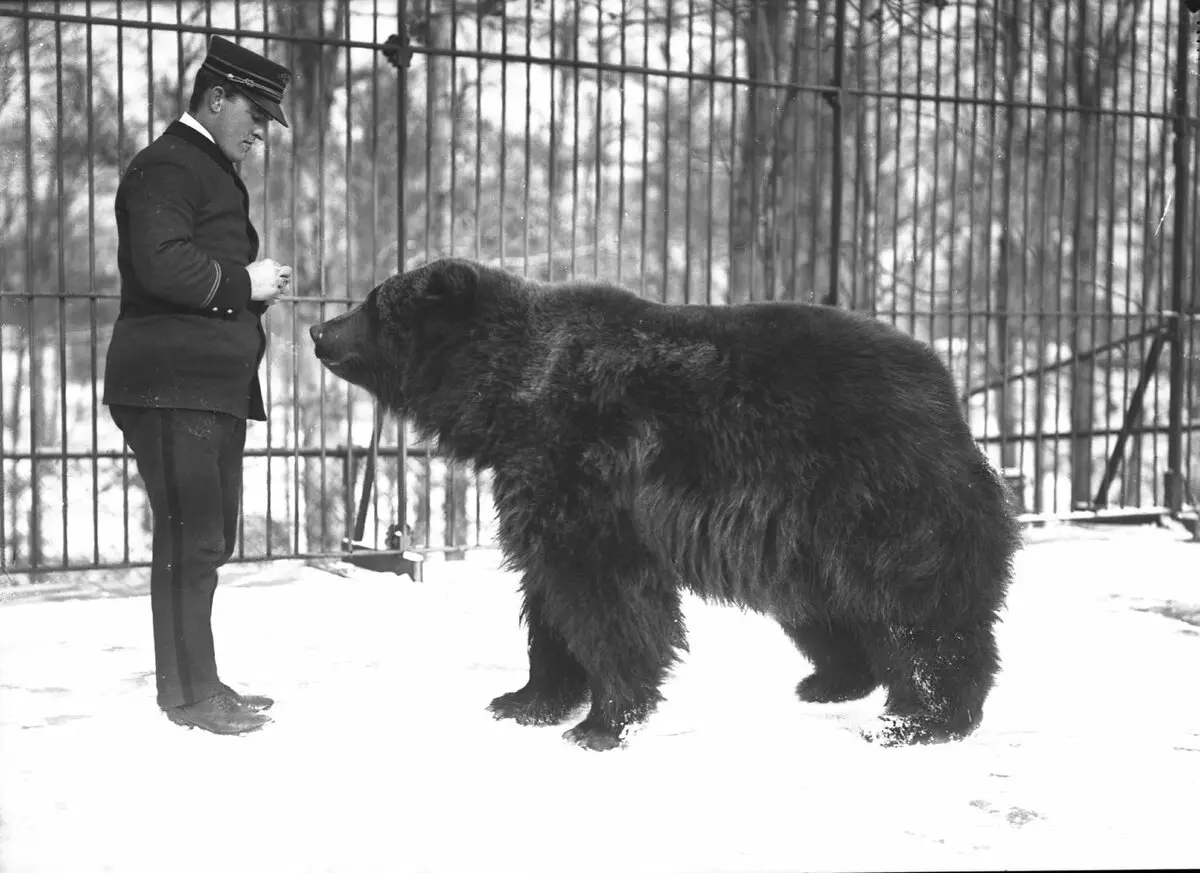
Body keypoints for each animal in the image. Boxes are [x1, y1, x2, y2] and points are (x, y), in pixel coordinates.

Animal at [309, 259, 1022, 748]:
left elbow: (606, 595)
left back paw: (922, 717)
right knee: (831, 607)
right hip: (812, 534)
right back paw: (832, 682)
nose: (317, 327)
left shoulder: (584, 461)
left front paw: (602, 723)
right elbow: (549, 595)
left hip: (878, 495)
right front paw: (524, 698)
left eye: (372, 305)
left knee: (920, 612)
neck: (505, 395)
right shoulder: (536, 478)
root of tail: (949, 394)